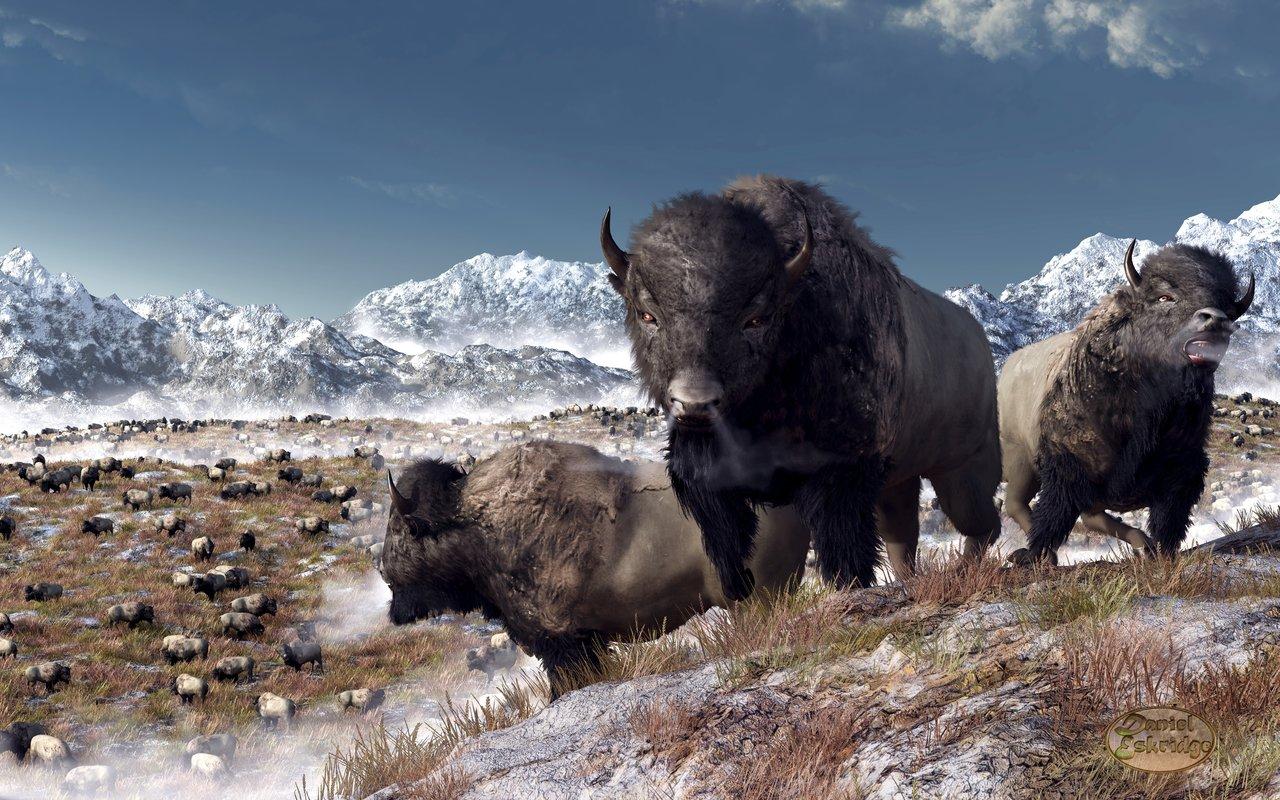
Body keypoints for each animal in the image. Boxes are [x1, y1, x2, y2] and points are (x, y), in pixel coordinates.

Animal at [601, 176, 1001, 595]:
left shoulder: (844, 472)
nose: (695, 405)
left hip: (963, 468)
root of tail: (978, 338)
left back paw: (964, 569)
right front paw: (740, 588)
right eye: (647, 314)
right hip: (900, 479)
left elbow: (844, 547)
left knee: (980, 524)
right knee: (903, 537)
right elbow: (730, 545)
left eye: (756, 319)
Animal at [1002, 241, 1254, 564]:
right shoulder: (1069, 465)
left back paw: (1141, 541)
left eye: (1227, 307)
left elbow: (1169, 520)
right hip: (1021, 460)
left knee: (1091, 516)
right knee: (1018, 503)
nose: (1215, 320)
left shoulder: (1184, 469)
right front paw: (1033, 555)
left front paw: (1161, 552)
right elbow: (1053, 514)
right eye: (1164, 296)